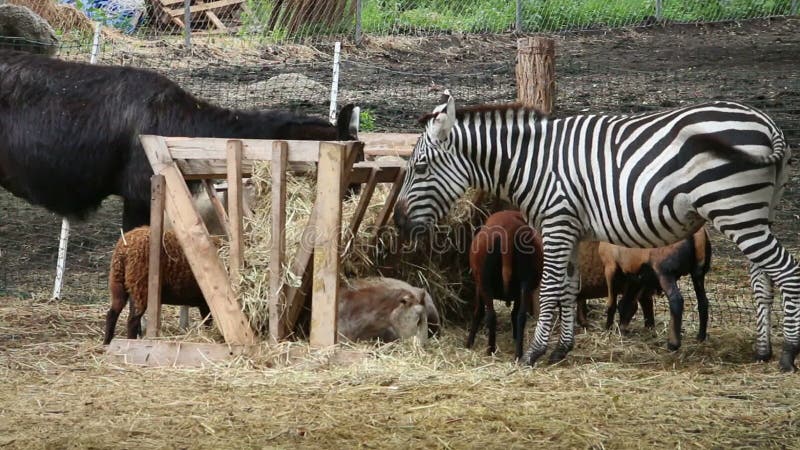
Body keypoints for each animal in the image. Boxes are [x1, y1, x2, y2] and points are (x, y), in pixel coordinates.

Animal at [393, 93, 799, 372]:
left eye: (420, 167)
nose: (398, 222)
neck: (533, 163)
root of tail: (768, 123)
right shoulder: (571, 228)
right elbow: (569, 289)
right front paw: (561, 349)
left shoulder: (556, 221)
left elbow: (551, 289)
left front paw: (534, 353)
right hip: (757, 211)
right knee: (762, 279)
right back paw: (763, 351)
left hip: (734, 208)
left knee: (787, 271)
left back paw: (788, 354)